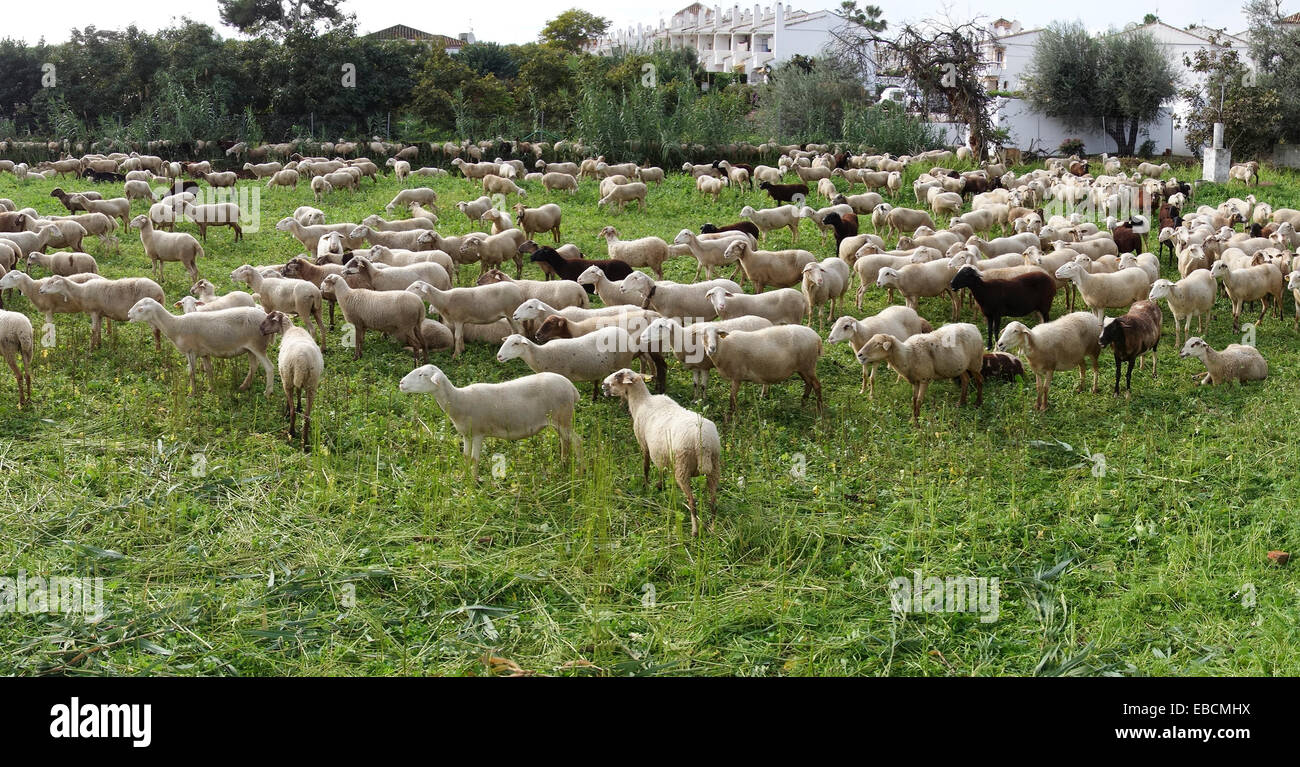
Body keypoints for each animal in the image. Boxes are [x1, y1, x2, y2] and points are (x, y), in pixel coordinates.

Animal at [400, 364, 580, 479]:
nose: (401, 383)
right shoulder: (467, 435)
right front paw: (463, 476)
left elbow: (474, 459)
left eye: (422, 375)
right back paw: (563, 465)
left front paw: (472, 483)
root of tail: (571, 387)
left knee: (577, 441)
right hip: (558, 421)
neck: (459, 399)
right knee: (565, 441)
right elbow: (466, 456)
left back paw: (581, 469)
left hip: (564, 418)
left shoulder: (478, 433)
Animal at [496, 327, 642, 400]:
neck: (541, 355)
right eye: (506, 341)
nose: (499, 356)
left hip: (623, 361)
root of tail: (625, 333)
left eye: (515, 343)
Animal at [601, 368, 720, 536]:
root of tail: (703, 442)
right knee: (713, 501)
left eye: (618, 376)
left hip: (682, 468)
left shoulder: (644, 443)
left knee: (692, 501)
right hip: (714, 466)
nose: (603, 385)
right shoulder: (661, 453)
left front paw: (646, 486)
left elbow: (646, 467)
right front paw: (659, 486)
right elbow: (661, 470)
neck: (640, 402)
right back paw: (712, 528)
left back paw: (695, 531)